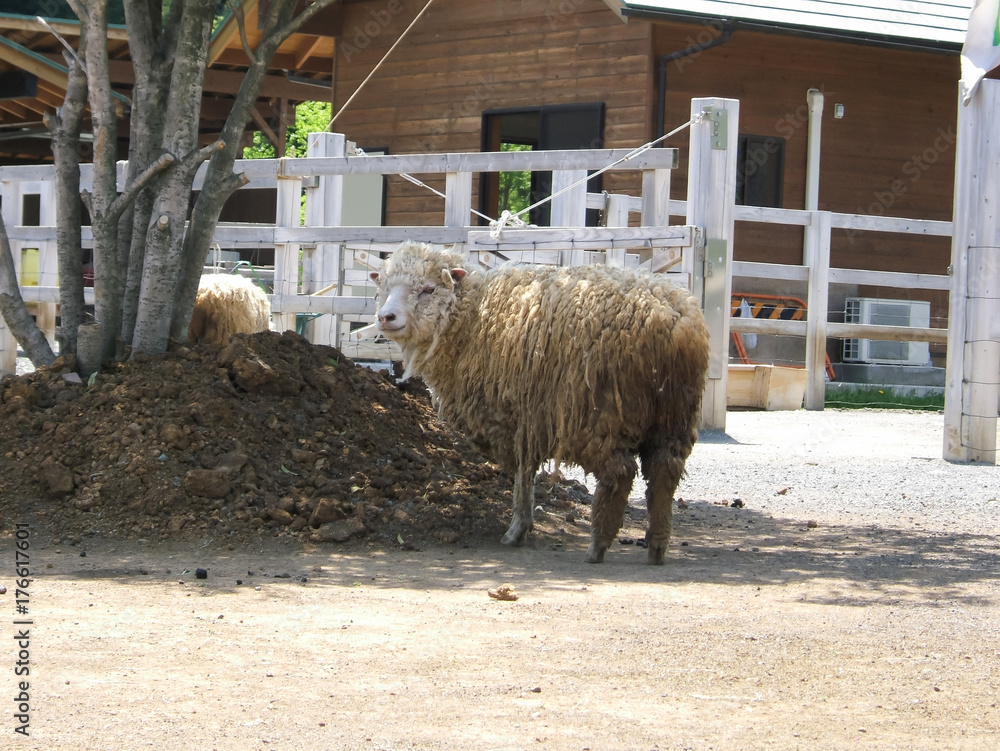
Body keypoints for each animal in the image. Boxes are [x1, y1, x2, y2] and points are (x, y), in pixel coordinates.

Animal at [370, 241, 710, 564]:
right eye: (383, 287)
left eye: (428, 288)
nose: (385, 317)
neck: (472, 317)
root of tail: (671, 321)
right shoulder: (528, 420)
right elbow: (527, 472)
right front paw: (521, 526)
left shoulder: (515, 417)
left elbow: (522, 475)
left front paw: (516, 529)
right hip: (673, 415)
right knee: (664, 471)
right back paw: (657, 545)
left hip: (604, 413)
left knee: (620, 473)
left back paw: (598, 545)